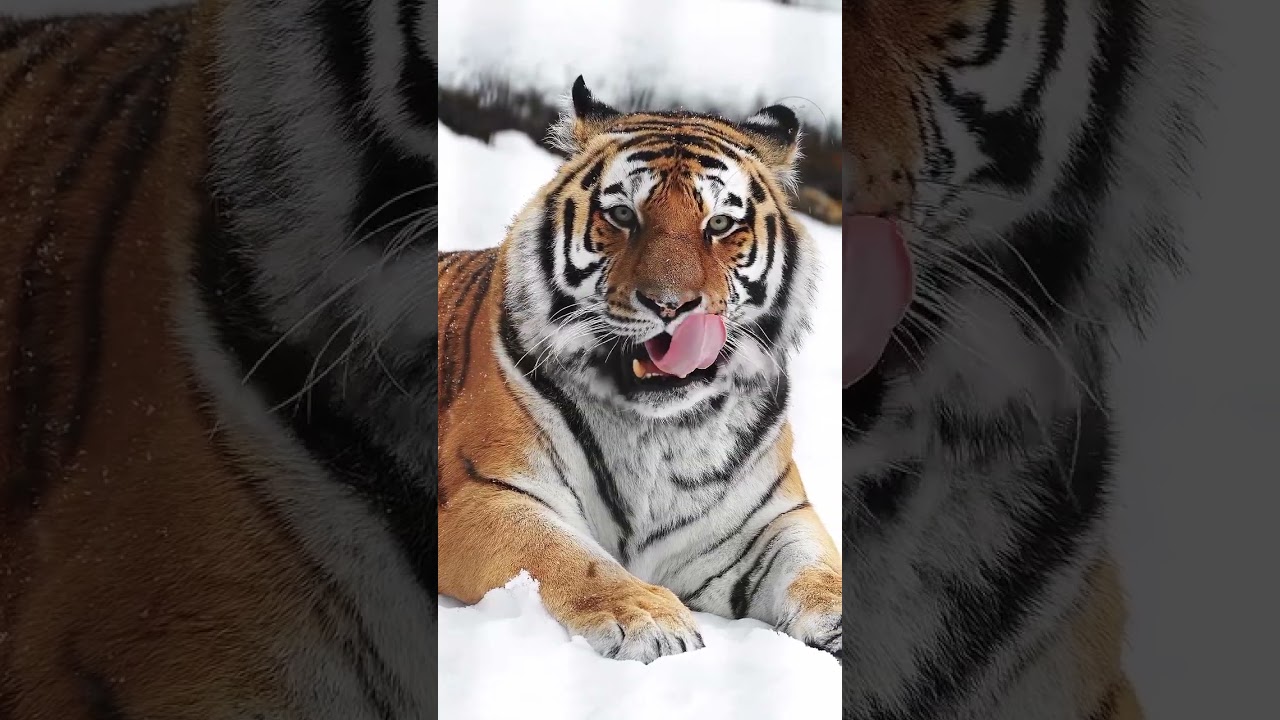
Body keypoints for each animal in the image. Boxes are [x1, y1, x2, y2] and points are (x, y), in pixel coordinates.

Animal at [437, 77, 843, 664]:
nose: (671, 305)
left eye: (720, 224)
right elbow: (565, 554)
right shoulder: (483, 492)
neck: (660, 430)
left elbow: (819, 570)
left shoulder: (772, 520)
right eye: (624, 216)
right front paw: (650, 620)